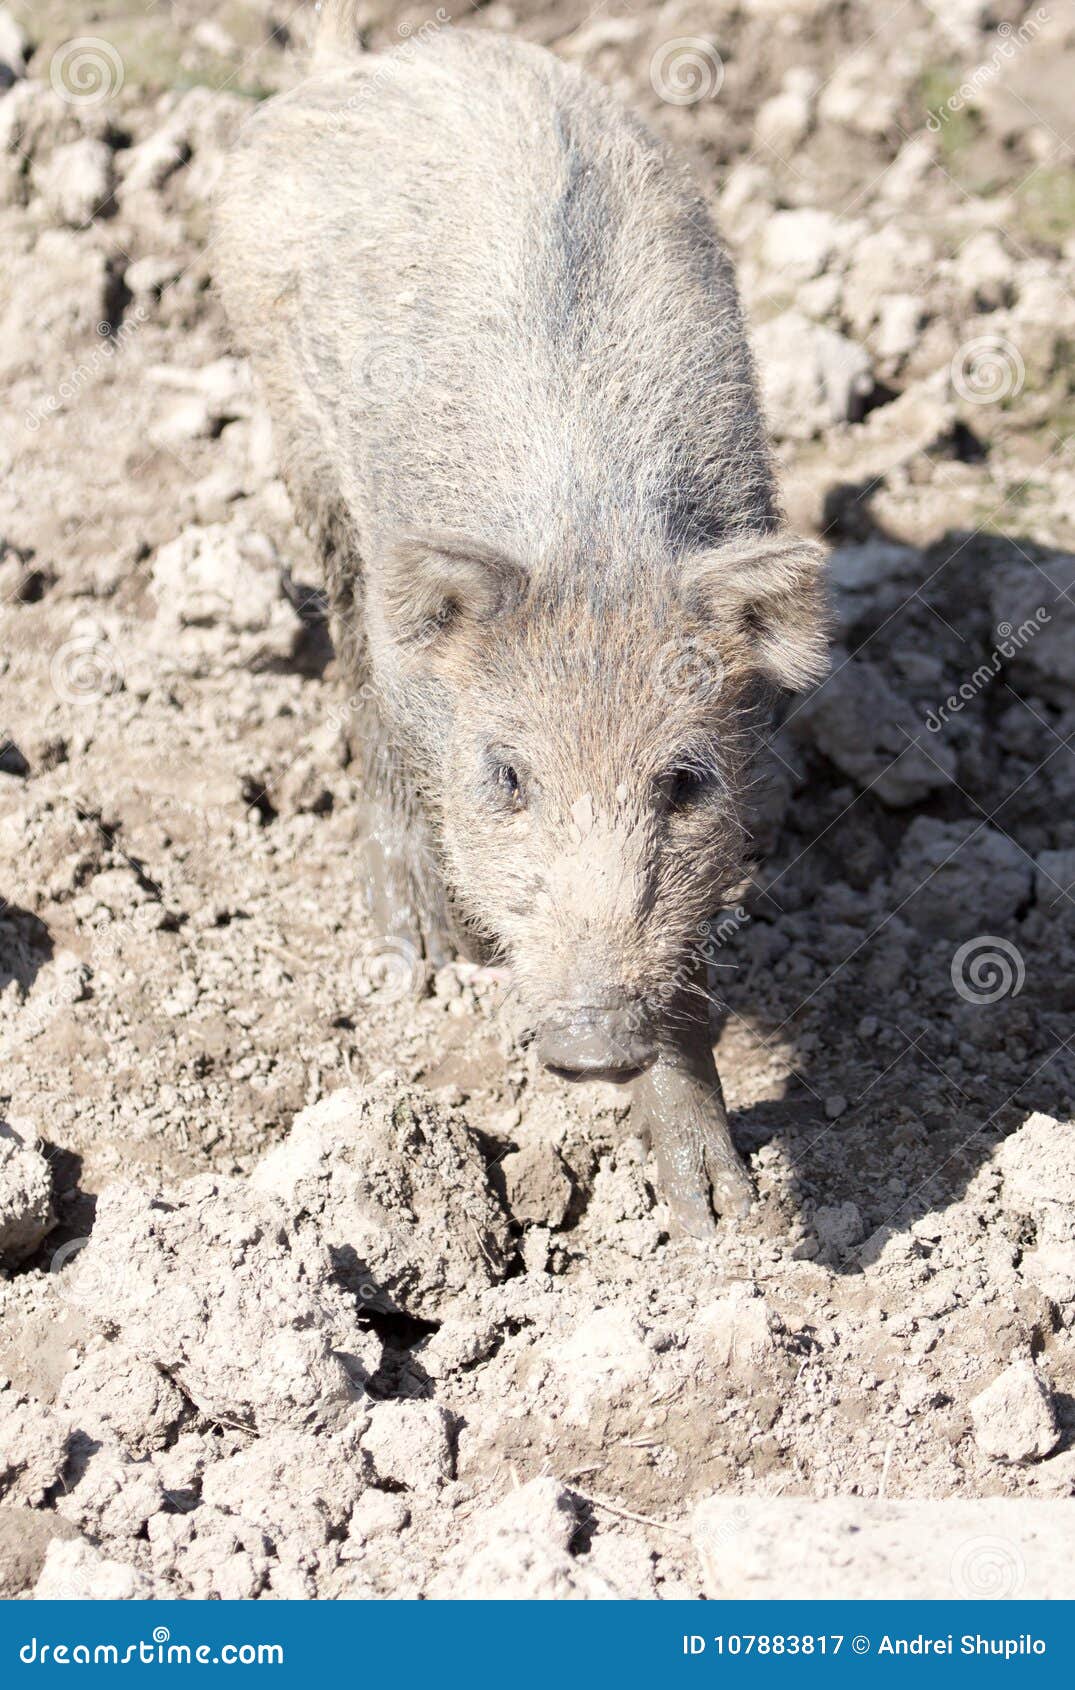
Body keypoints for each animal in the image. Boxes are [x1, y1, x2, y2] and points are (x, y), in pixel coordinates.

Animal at [213, 9, 829, 1238]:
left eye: (684, 782)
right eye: (506, 775)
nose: (589, 1044)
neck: (595, 540)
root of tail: (373, 60)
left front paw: (721, 1219)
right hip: (294, 425)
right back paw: (416, 951)